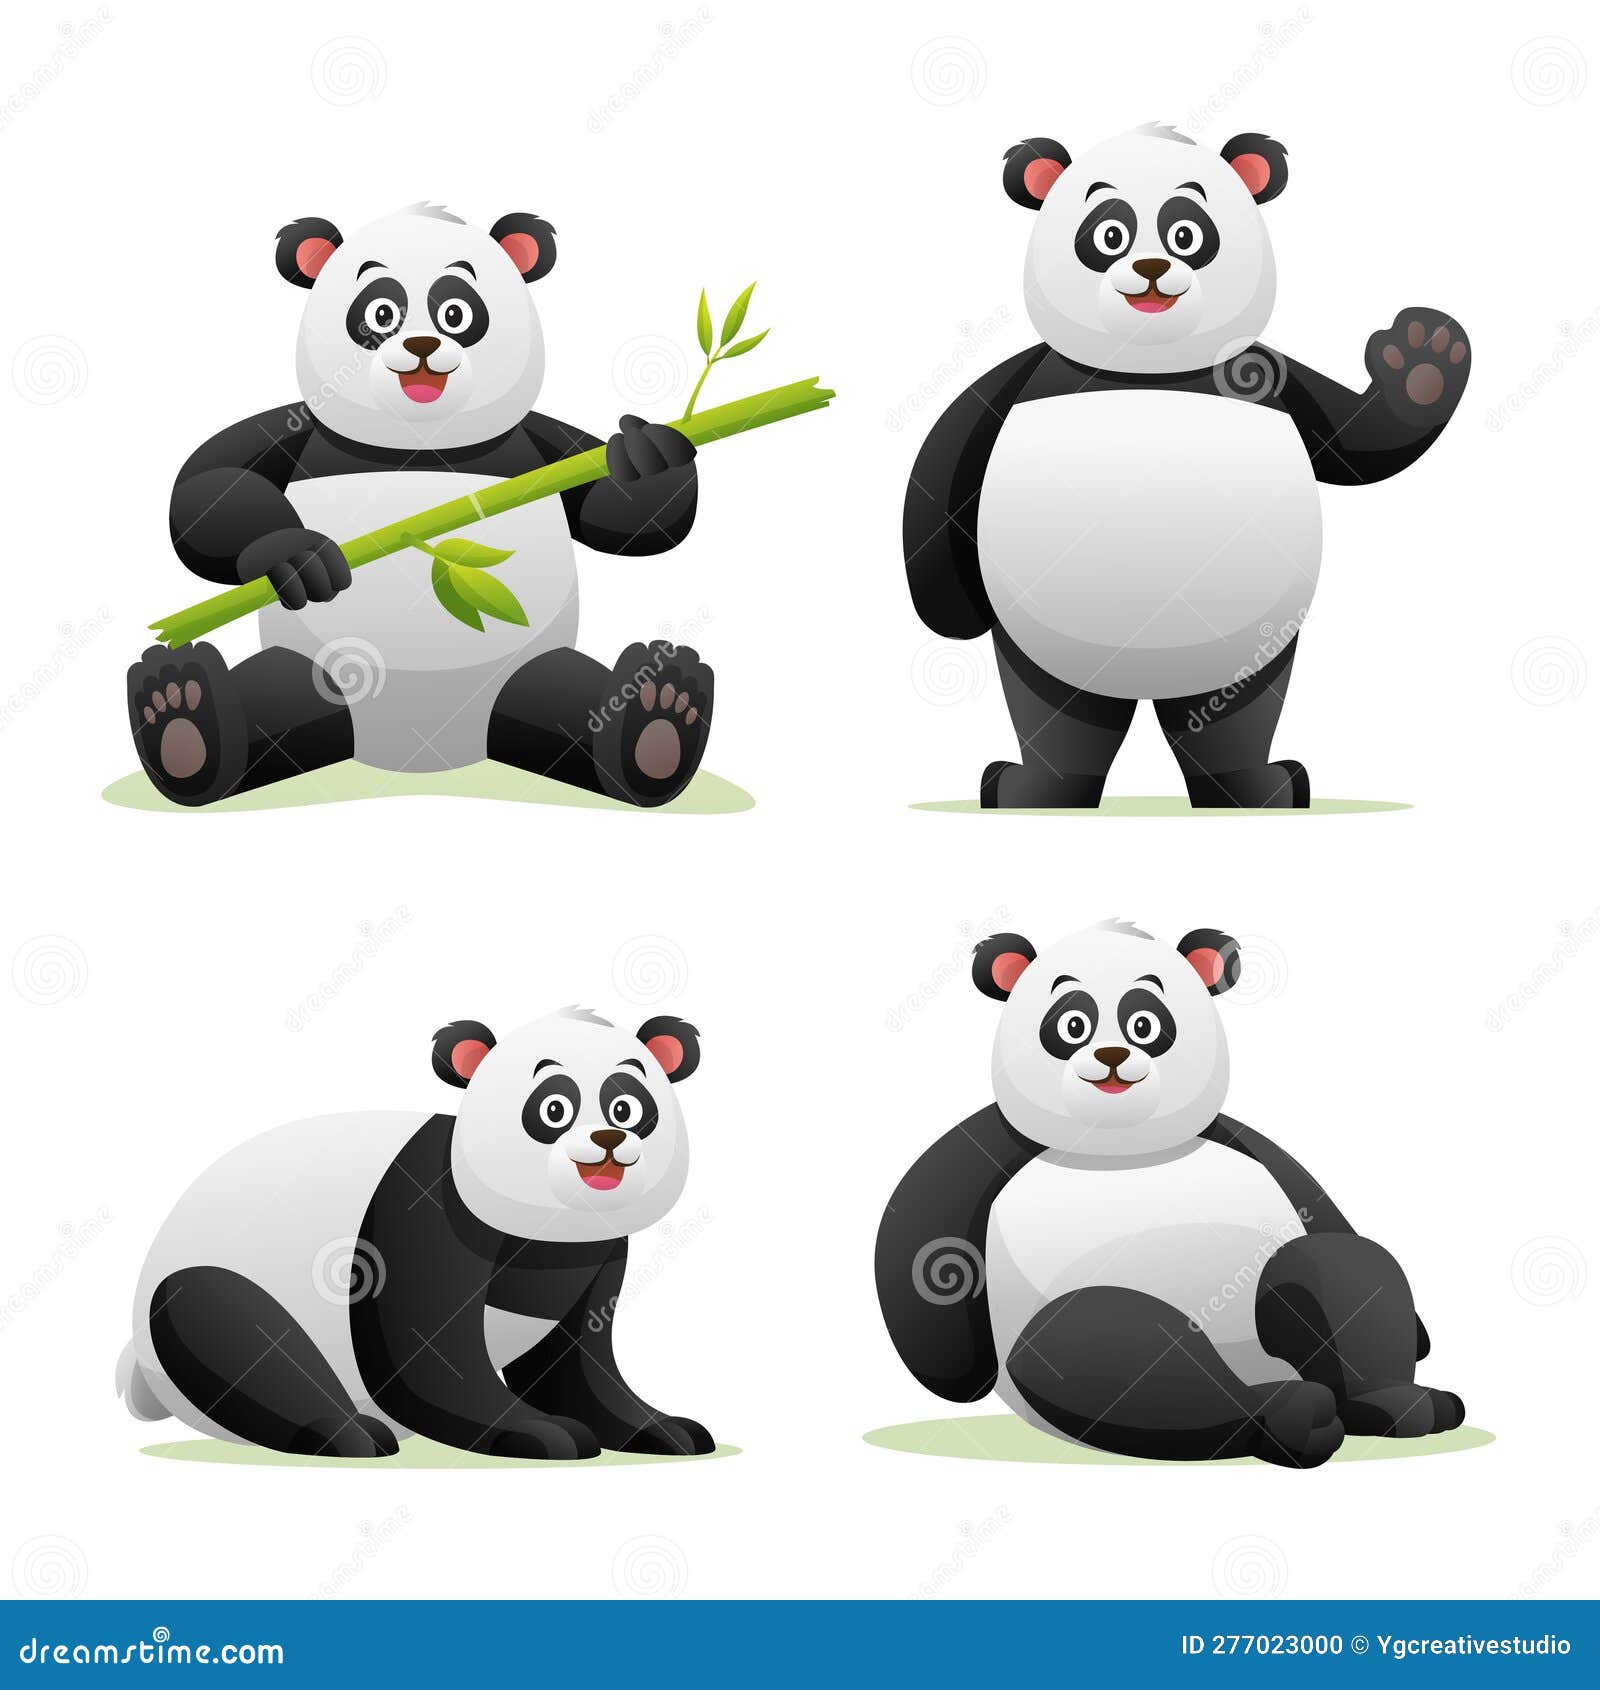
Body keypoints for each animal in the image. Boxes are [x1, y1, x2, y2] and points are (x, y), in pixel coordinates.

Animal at [116, 1007, 715, 1459]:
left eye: (628, 1105)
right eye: (553, 1108)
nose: (608, 1138)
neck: (549, 1226)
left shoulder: (593, 1254)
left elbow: (574, 1364)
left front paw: (660, 1428)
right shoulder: (422, 1217)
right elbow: (428, 1355)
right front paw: (535, 1431)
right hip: (209, 1293)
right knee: (243, 1336)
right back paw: (345, 1434)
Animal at [128, 203, 711, 809]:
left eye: (456, 312)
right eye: (380, 312)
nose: (422, 346)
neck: (421, 442)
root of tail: (429, 751)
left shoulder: (542, 446)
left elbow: (624, 519)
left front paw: (648, 456)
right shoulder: (300, 427)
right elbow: (209, 489)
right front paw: (298, 556)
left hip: (528, 675)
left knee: (566, 701)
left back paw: (658, 711)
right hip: (316, 672)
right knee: (275, 698)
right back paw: (181, 708)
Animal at [875, 920, 1465, 1467]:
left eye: (1146, 1023)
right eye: (1071, 1024)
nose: (1112, 1055)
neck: (1123, 1147)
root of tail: (1260, 1370)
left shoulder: (1240, 1138)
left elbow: (1313, 1200)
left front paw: (1419, 1335)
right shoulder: (986, 1147)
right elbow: (922, 1240)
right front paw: (954, 1373)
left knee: (1336, 1264)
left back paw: (1398, 1404)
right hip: (1102, 1341)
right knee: (1097, 1343)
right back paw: (1285, 1415)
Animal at [905, 125, 1471, 808]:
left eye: (1187, 234)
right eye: (1108, 234)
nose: (1151, 269)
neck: (1148, 366)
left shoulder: (1268, 374)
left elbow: (1358, 446)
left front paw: (1423, 363)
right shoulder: (1020, 379)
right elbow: (945, 462)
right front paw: (947, 609)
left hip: (1249, 651)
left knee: (1230, 717)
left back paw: (1257, 789)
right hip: (1040, 646)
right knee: (1060, 715)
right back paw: (1033, 791)